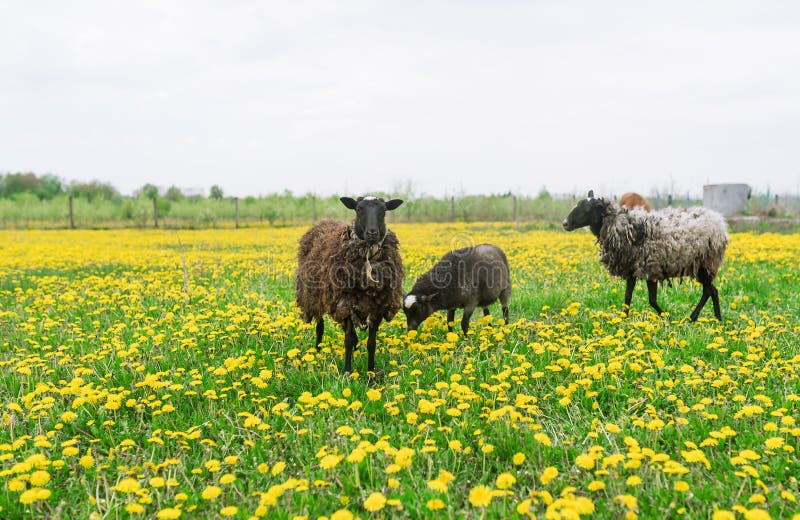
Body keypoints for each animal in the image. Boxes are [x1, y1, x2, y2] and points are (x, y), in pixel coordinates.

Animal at [295, 196, 404, 374]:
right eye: (358, 209)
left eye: (383, 210)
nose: (372, 233)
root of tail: (323, 221)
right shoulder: (345, 303)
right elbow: (347, 339)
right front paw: (347, 371)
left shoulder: (377, 308)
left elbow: (371, 344)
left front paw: (371, 372)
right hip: (313, 297)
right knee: (320, 326)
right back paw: (316, 352)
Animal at [562, 190, 728, 321]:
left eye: (587, 209)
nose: (565, 223)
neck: (625, 228)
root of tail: (719, 222)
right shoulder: (631, 269)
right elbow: (627, 297)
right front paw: (623, 318)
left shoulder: (651, 268)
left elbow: (652, 300)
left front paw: (667, 317)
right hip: (701, 266)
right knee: (712, 291)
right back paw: (716, 319)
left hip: (706, 263)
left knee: (710, 291)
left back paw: (696, 318)